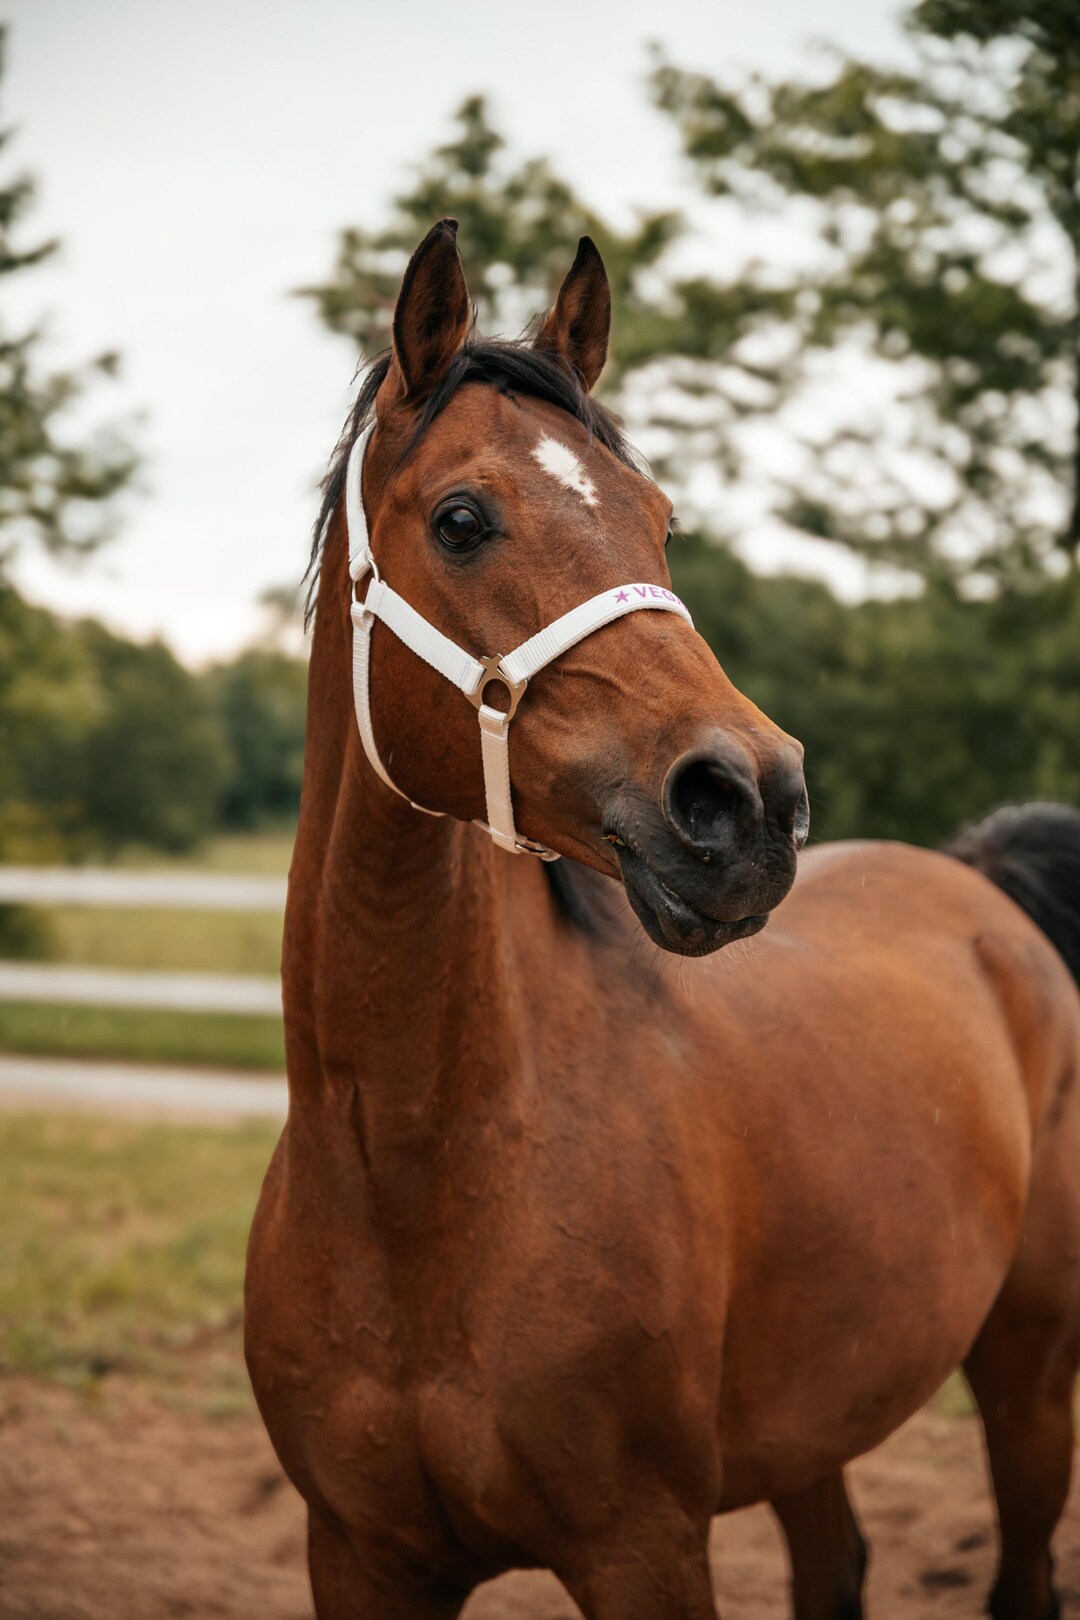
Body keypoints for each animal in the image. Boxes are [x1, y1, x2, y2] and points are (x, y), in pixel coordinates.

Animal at [245, 218, 1080, 1620]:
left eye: (658, 522)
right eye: (461, 519)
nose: (751, 801)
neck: (417, 1172)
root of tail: (980, 884)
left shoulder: (642, 1545)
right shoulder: (357, 1554)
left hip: (1029, 1368)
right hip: (817, 1413)